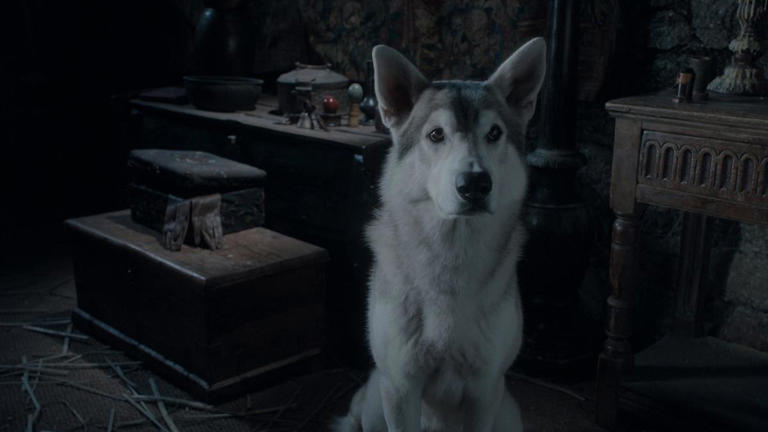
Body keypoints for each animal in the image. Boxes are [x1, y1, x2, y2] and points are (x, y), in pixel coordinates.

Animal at [334, 37, 547, 432]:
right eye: (436, 134)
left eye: (494, 133)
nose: (475, 184)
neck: (451, 253)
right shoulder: (400, 387)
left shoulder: (484, 390)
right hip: (374, 403)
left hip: (507, 413)